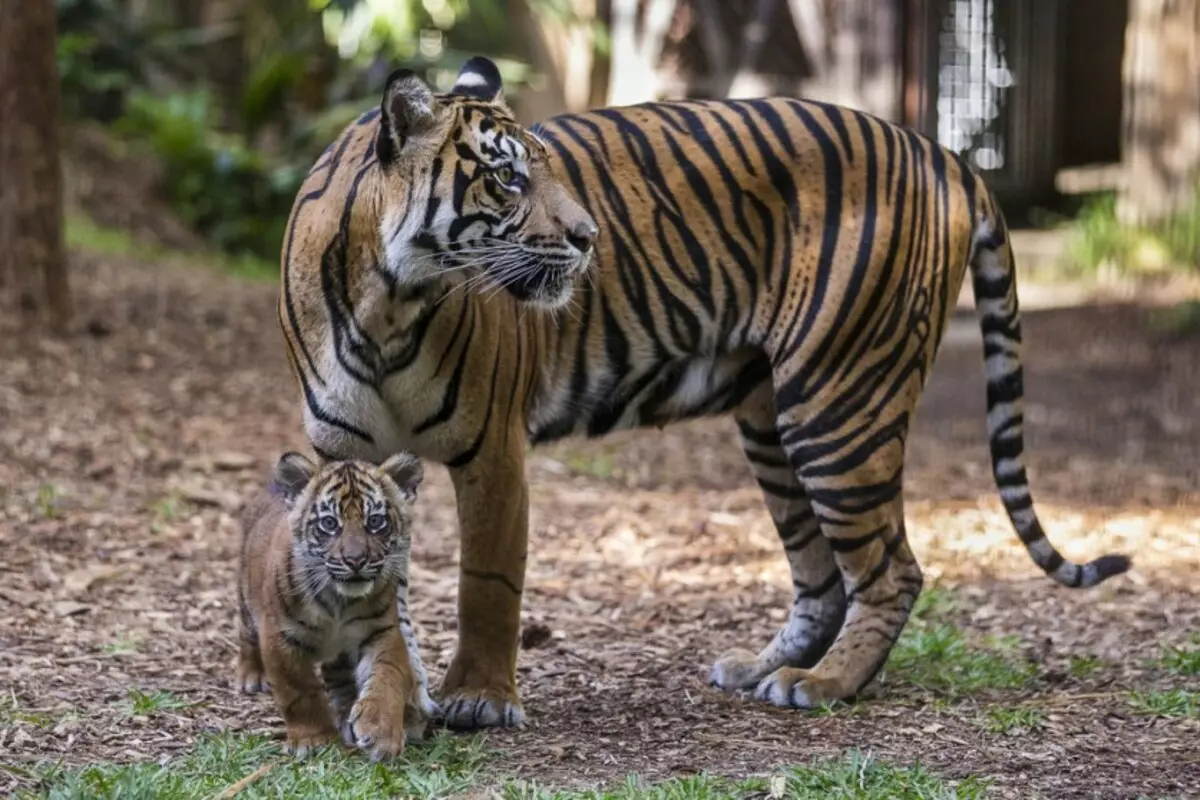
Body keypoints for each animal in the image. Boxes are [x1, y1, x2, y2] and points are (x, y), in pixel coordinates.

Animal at [276, 57, 1128, 734]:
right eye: (509, 176)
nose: (590, 238)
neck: (387, 301)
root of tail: (942, 151)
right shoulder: (348, 458)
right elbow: (371, 584)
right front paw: (381, 693)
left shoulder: (492, 451)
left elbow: (487, 584)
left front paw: (477, 699)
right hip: (773, 423)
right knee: (822, 575)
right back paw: (759, 669)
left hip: (838, 401)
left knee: (892, 571)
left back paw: (822, 684)